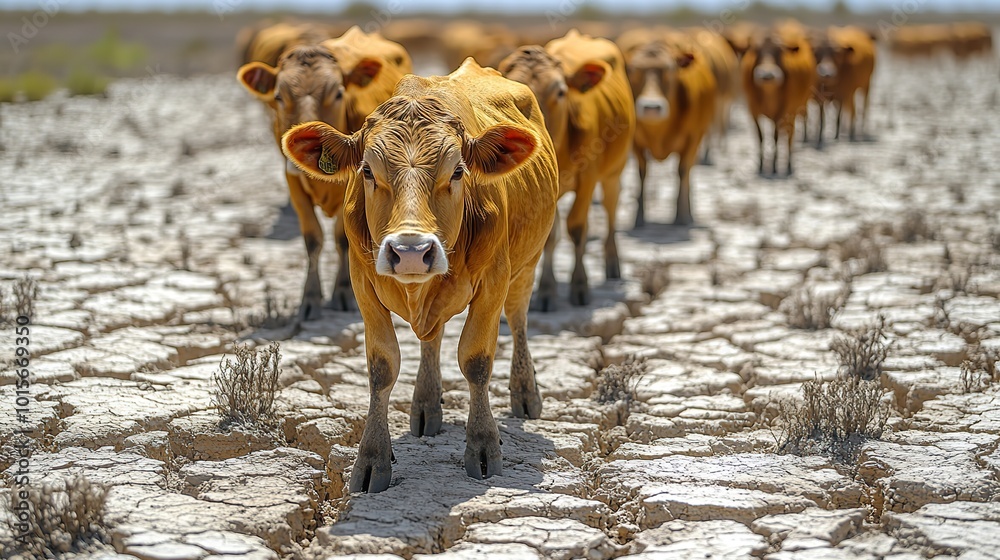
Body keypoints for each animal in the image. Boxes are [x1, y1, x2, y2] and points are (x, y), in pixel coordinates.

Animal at [237, 26, 412, 322]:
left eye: (339, 93)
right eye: (279, 97)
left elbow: (343, 238)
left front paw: (343, 292)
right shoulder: (293, 182)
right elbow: (313, 239)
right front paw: (309, 299)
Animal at [281, 58, 559, 492]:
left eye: (458, 171)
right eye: (367, 171)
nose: (410, 252)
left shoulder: (494, 281)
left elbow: (477, 360)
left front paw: (484, 445)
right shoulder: (362, 284)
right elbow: (382, 367)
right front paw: (372, 458)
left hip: (527, 265)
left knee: (518, 320)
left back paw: (525, 393)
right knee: (433, 337)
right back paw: (426, 406)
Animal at [498, 30, 635, 309]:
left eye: (561, 92)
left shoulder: (588, 179)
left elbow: (578, 229)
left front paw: (580, 286)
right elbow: (550, 236)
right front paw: (546, 291)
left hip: (614, 172)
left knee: (611, 208)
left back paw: (612, 262)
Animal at [618, 28, 717, 226]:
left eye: (670, 69)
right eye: (632, 70)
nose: (651, 107)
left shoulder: (693, 138)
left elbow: (683, 170)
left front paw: (682, 215)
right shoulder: (636, 143)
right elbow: (642, 172)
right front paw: (638, 218)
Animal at [741, 24, 816, 176]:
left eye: (780, 51)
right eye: (756, 51)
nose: (767, 74)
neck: (769, 93)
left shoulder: (782, 112)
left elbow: (775, 137)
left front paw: (775, 167)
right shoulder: (753, 111)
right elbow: (761, 137)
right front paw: (761, 166)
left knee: (789, 136)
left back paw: (789, 165)